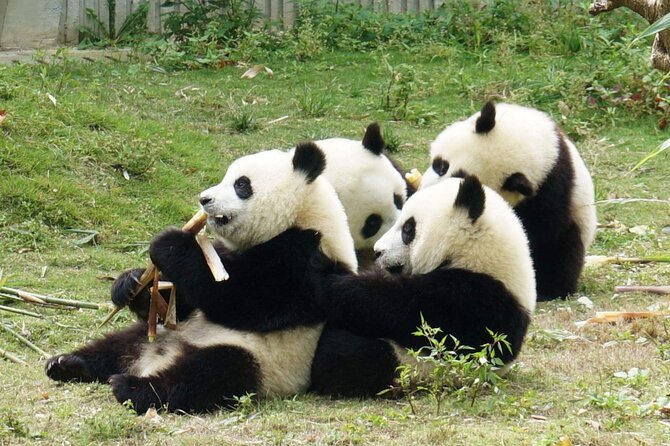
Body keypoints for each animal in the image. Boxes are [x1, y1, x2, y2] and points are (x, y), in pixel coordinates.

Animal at [45, 142, 357, 414]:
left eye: (241, 184)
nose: (204, 199)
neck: (304, 216)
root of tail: (156, 358)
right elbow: (179, 305)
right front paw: (131, 283)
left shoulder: (304, 265)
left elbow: (240, 300)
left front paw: (169, 243)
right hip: (151, 336)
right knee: (116, 345)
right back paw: (67, 364)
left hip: (260, 360)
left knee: (206, 375)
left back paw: (132, 387)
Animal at [309, 175, 536, 397]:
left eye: (408, 228)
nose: (378, 251)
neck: (473, 254)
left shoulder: (476, 301)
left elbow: (396, 308)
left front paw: (323, 271)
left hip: (409, 365)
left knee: (348, 356)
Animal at [419, 101, 596, 301]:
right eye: (441, 166)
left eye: (460, 179)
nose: (427, 194)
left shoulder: (549, 191)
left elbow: (542, 231)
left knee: (562, 251)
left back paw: (549, 289)